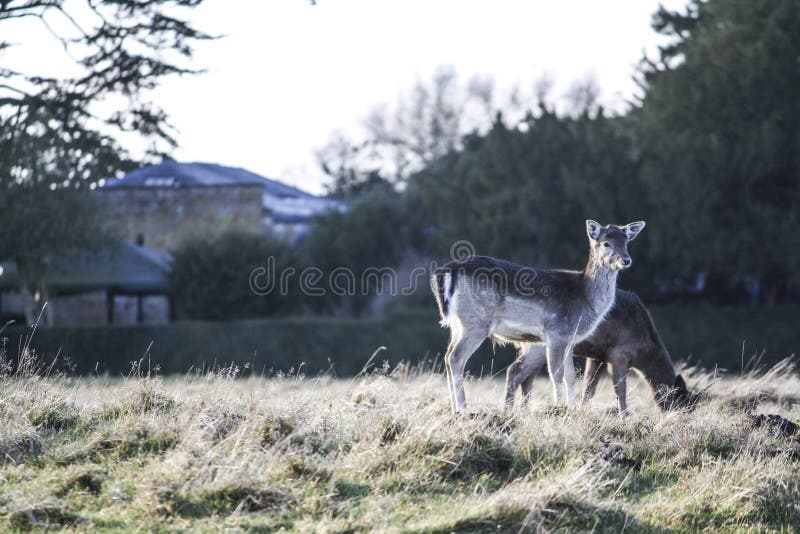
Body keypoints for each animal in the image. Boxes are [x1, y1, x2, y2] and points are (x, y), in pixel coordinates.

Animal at [431, 220, 645, 414]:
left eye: (626, 241)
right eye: (606, 243)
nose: (626, 260)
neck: (584, 300)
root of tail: (447, 271)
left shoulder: (570, 339)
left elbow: (570, 375)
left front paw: (572, 409)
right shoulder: (556, 332)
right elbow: (556, 374)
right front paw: (558, 408)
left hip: (457, 324)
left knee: (447, 355)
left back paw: (454, 408)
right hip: (476, 322)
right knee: (456, 358)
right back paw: (463, 409)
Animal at [505, 289, 700, 414]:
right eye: (683, 406)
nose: (680, 423)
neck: (643, 350)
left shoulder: (598, 356)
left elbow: (589, 388)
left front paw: (583, 411)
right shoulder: (618, 354)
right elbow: (620, 388)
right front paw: (624, 416)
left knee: (527, 378)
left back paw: (524, 410)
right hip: (538, 345)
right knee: (515, 370)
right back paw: (508, 410)